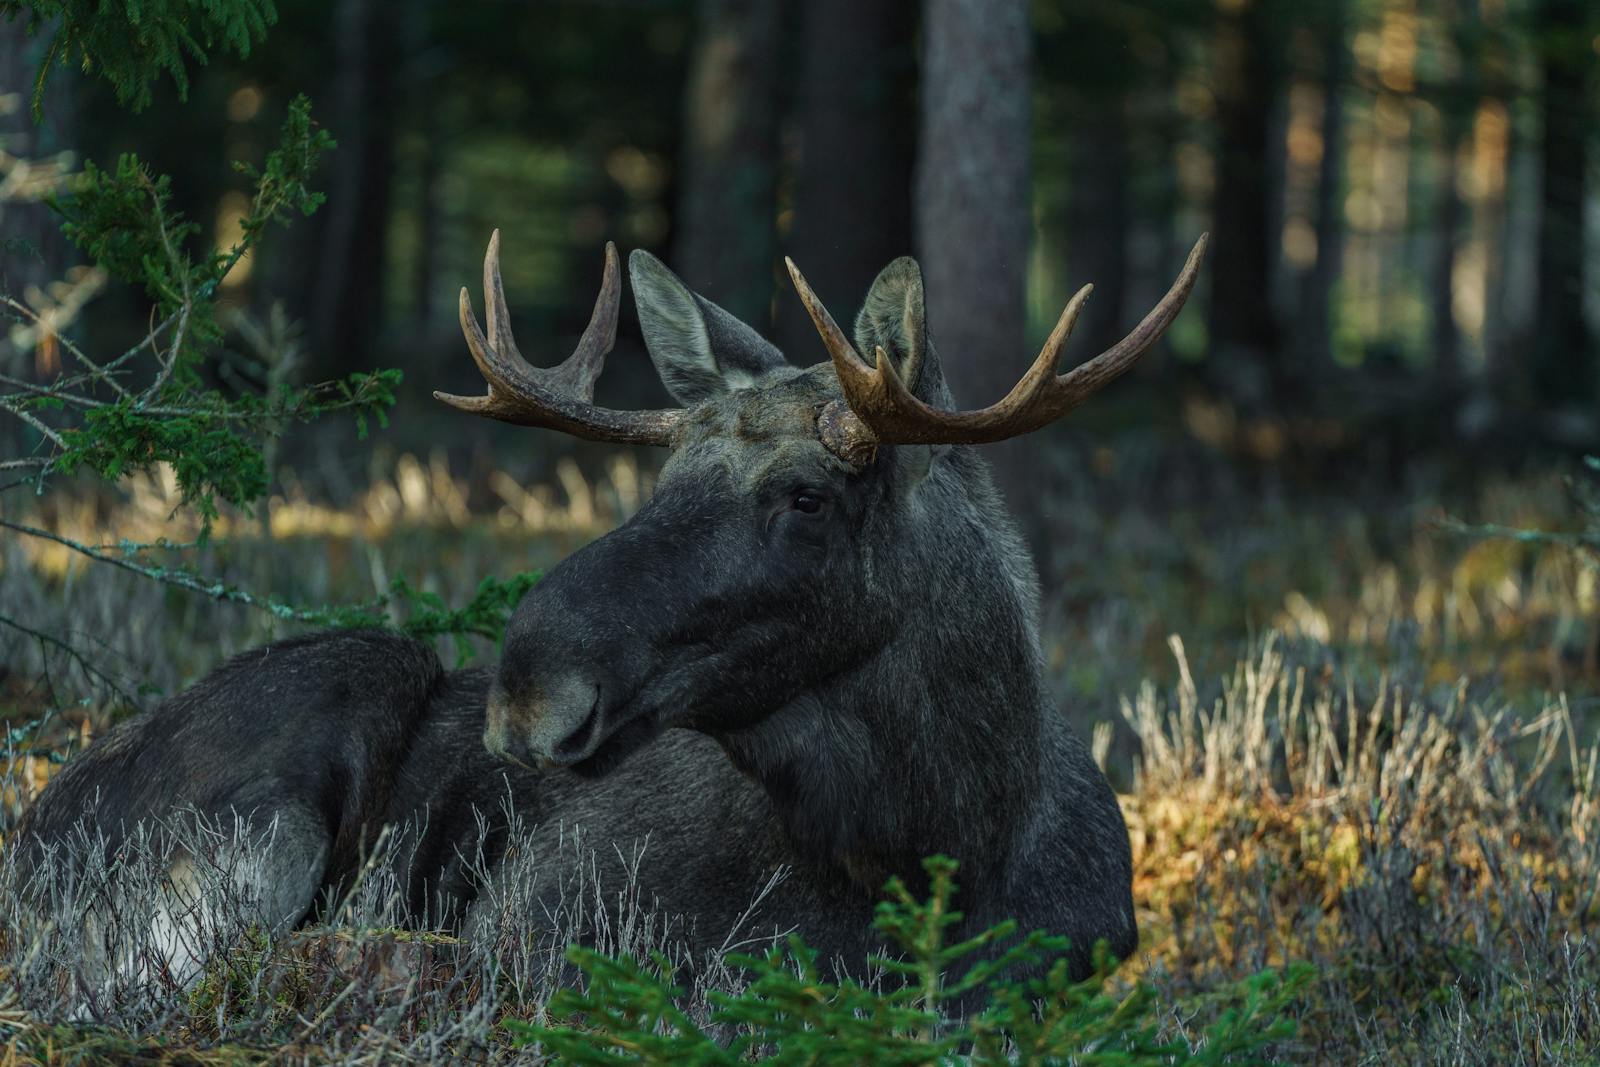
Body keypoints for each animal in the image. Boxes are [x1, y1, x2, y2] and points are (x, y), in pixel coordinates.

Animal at [16, 229, 1207, 999]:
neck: (946, 844)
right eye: (665, 477)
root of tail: (24, 831)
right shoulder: (537, 926)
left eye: (806, 495)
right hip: (271, 802)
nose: (528, 686)